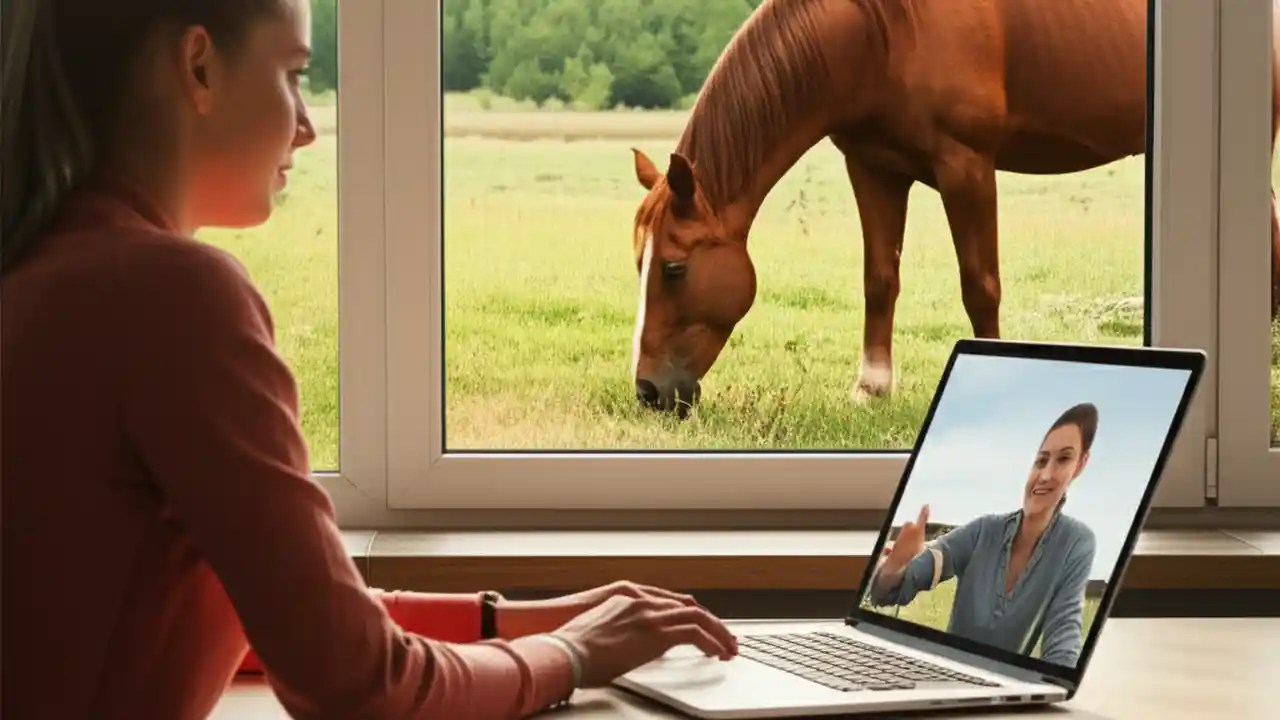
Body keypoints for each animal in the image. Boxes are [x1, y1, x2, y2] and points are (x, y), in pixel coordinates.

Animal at [629, 0, 1280, 416]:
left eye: (674, 268)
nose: (648, 392)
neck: (884, 31)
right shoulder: (874, 168)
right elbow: (879, 279)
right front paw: (871, 389)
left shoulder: (966, 166)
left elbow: (979, 285)